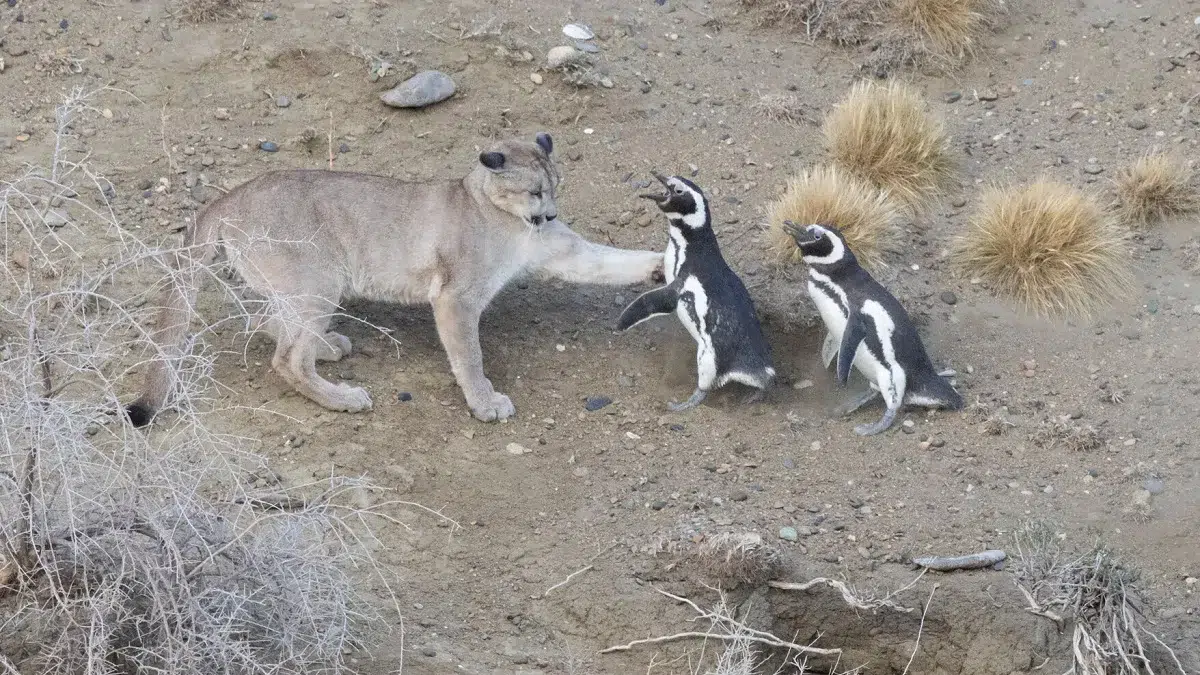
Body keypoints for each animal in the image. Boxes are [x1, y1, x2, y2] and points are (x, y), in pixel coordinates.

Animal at [125, 132, 664, 425]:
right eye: (534, 191)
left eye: (554, 187)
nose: (549, 214)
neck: (504, 216)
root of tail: (230, 196)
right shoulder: (455, 298)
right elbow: (469, 356)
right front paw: (485, 403)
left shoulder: (563, 249)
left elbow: (608, 262)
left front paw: (662, 263)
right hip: (320, 281)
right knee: (286, 358)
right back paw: (342, 396)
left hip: (300, 286)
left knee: (265, 322)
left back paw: (329, 346)